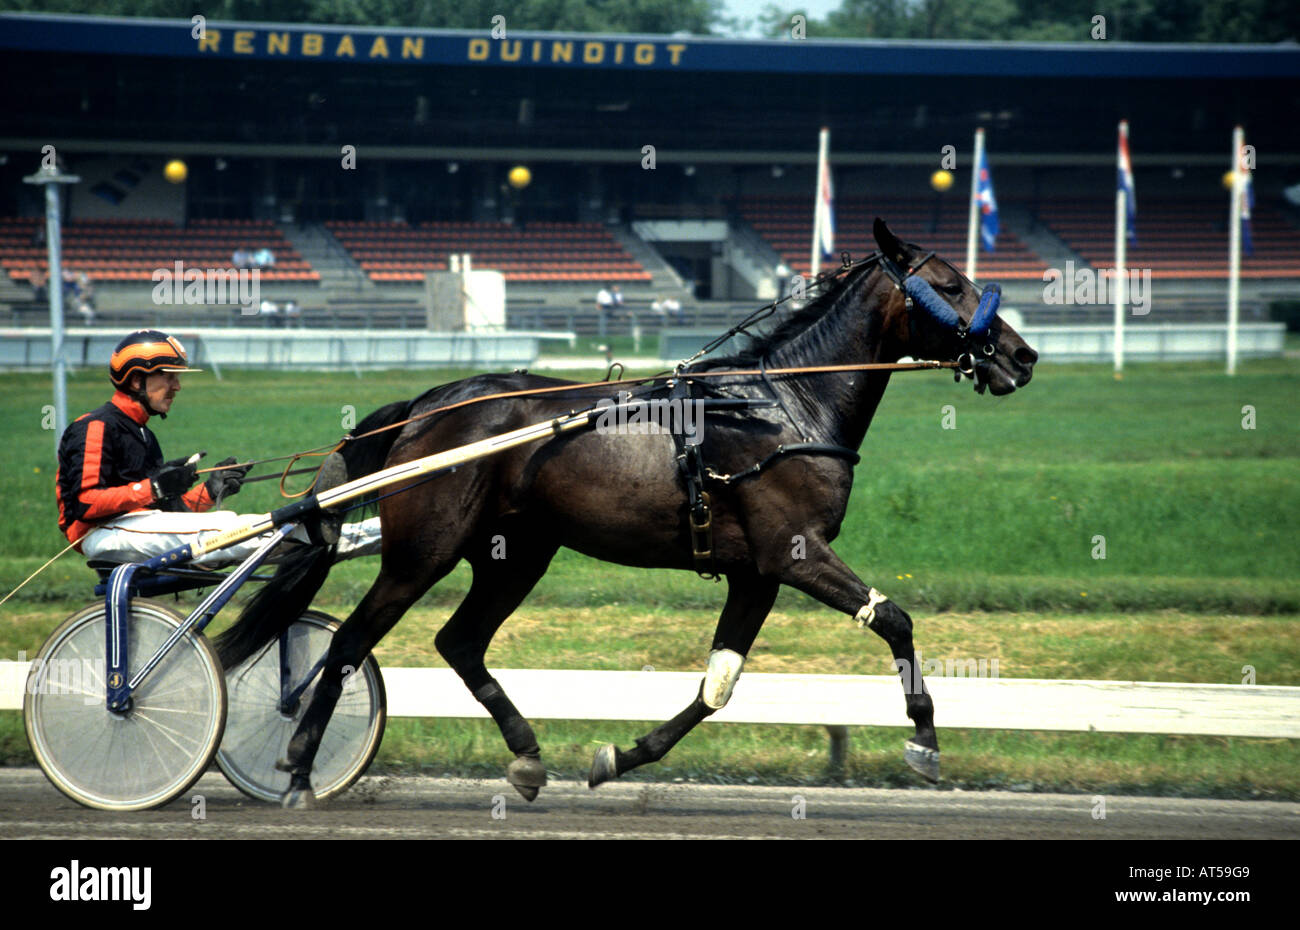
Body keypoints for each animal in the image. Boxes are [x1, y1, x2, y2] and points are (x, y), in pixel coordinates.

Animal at [215, 219, 1038, 807]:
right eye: (952, 283)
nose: (1023, 356)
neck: (782, 406)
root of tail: (427, 404)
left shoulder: (756, 572)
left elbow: (717, 686)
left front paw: (619, 756)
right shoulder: (793, 552)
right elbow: (893, 618)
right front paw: (925, 741)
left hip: (517, 552)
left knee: (460, 641)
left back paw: (526, 757)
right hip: (426, 549)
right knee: (350, 639)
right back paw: (297, 769)